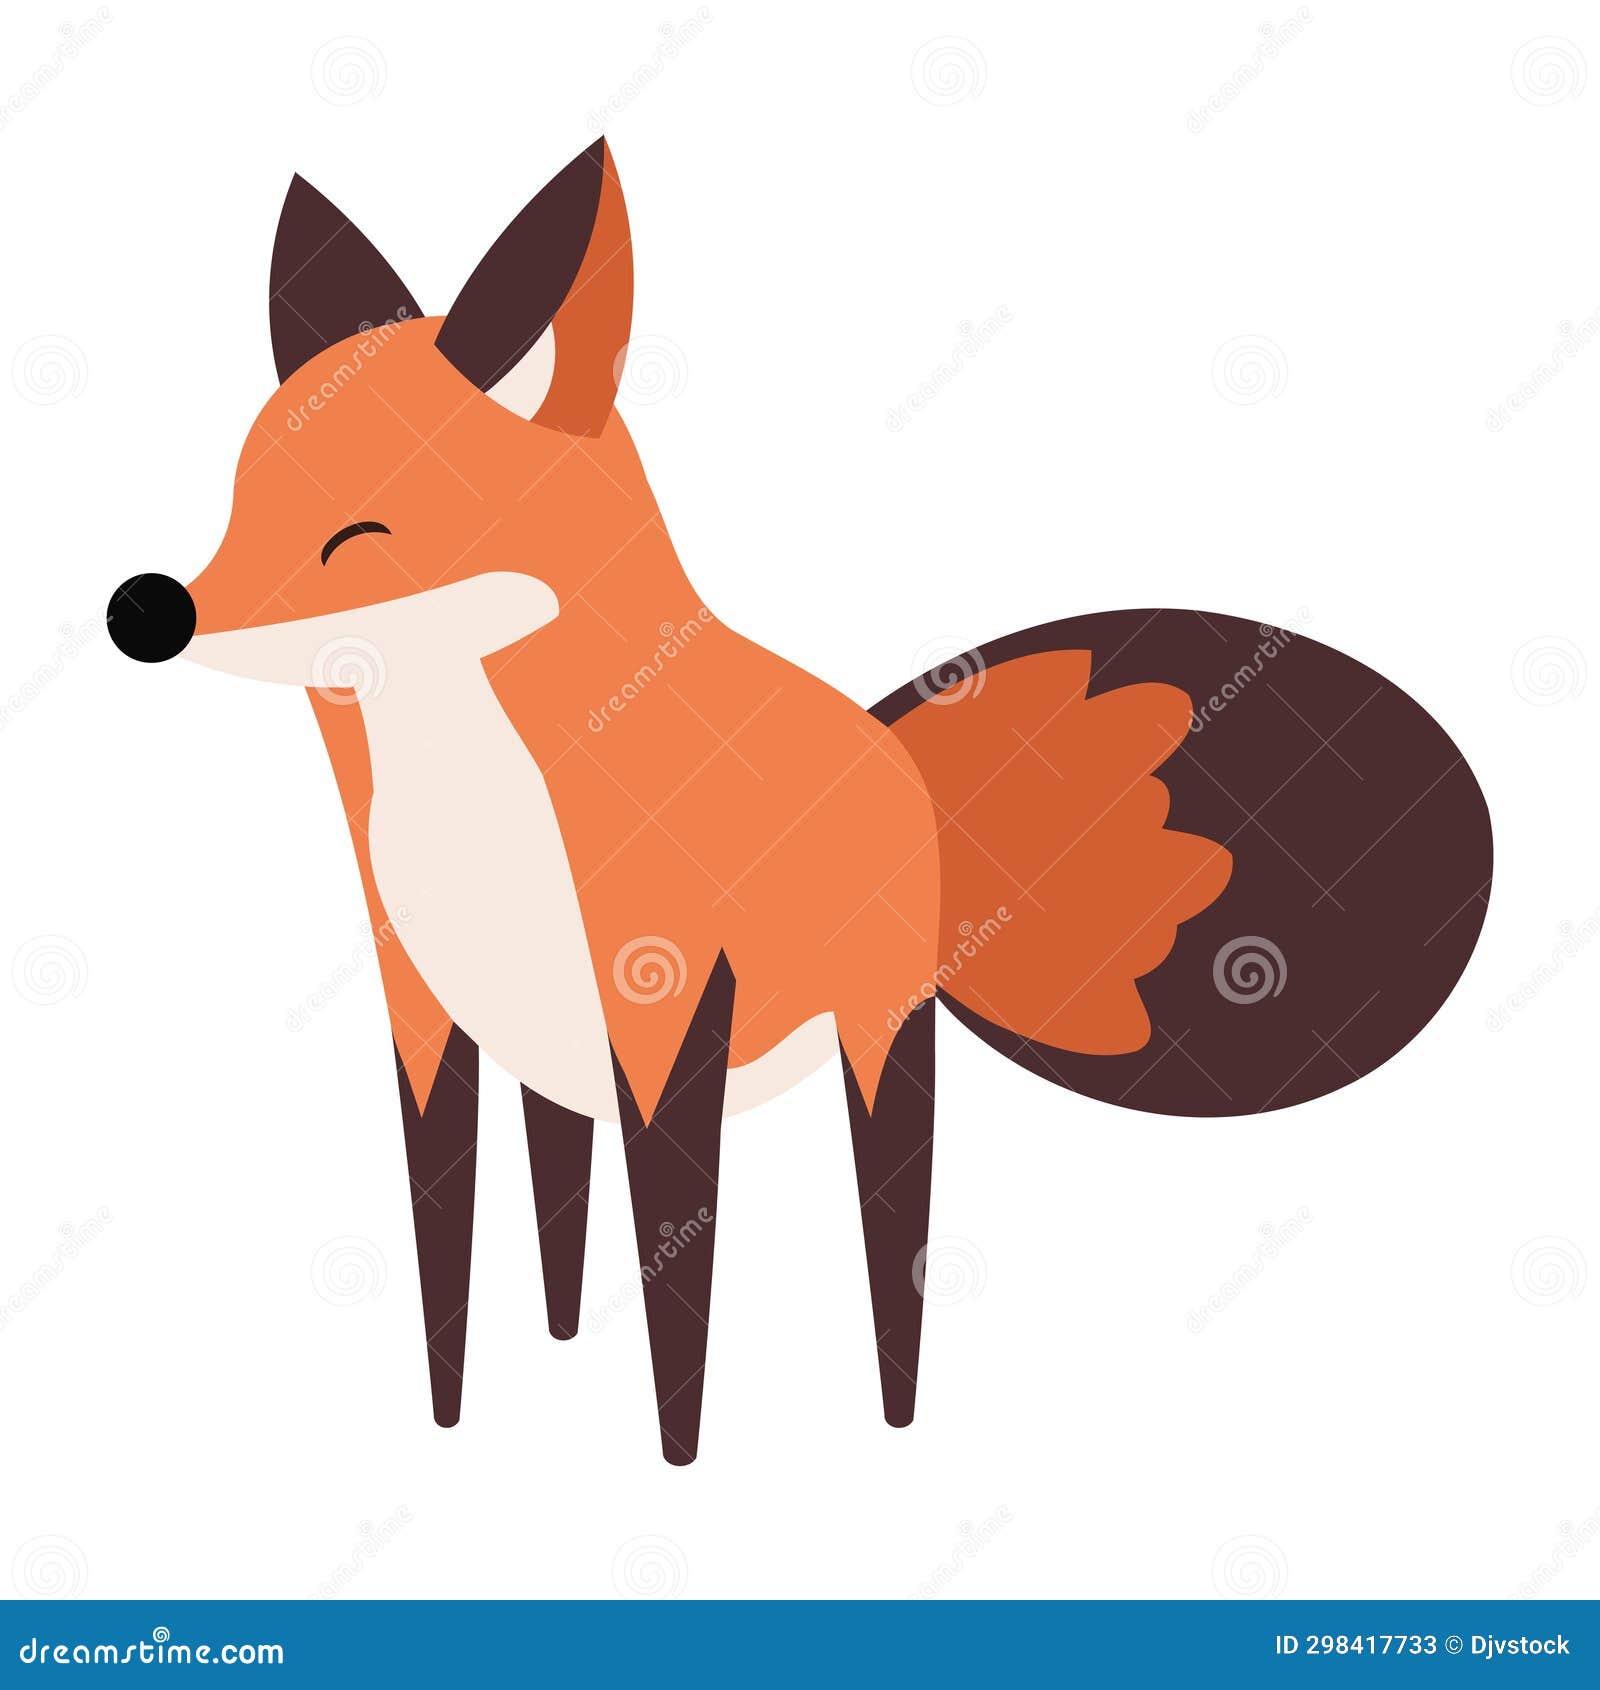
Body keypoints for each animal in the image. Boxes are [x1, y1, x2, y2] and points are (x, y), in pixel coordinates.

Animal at [107, 140, 1491, 1464]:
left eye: (359, 536)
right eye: (239, 501)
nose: (147, 612)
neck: (470, 796)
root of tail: (897, 752)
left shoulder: (665, 1011)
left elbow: (678, 1293)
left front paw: (676, 1460)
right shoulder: (430, 1018)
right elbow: (445, 1260)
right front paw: (453, 1424)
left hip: (874, 1038)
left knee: (895, 1239)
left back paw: (894, 1414)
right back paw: (570, 1341)